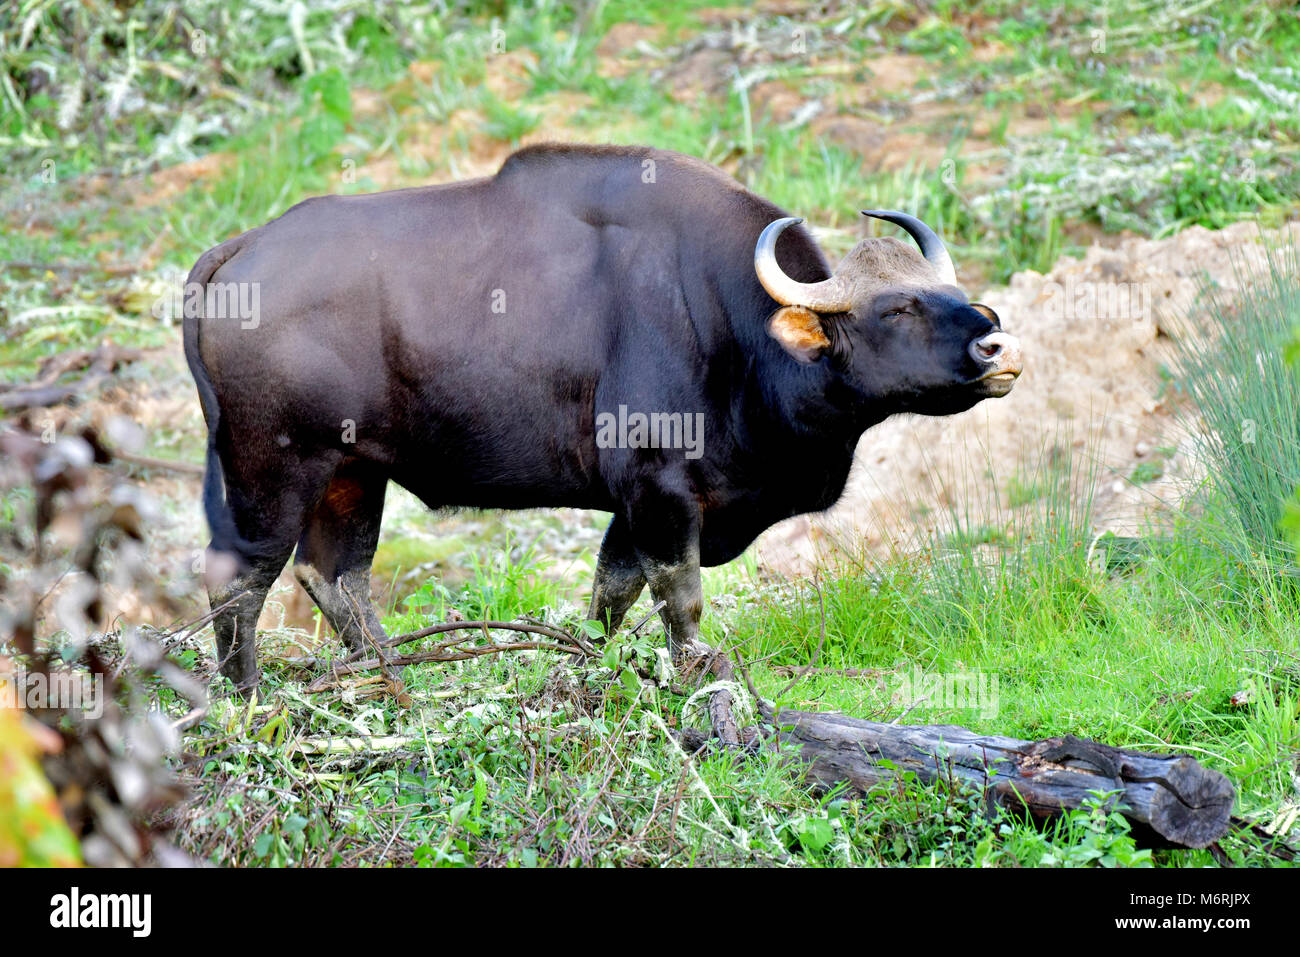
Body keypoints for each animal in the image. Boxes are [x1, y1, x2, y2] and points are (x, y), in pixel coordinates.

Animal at [184, 143, 1022, 692]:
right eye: (897, 306)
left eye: (946, 290)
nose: (995, 340)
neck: (730, 326)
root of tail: (242, 253)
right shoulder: (661, 491)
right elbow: (679, 593)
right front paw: (695, 673)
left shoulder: (635, 506)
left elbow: (609, 596)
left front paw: (591, 664)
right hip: (271, 470)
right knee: (240, 578)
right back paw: (249, 694)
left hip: (353, 472)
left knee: (335, 573)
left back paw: (391, 676)